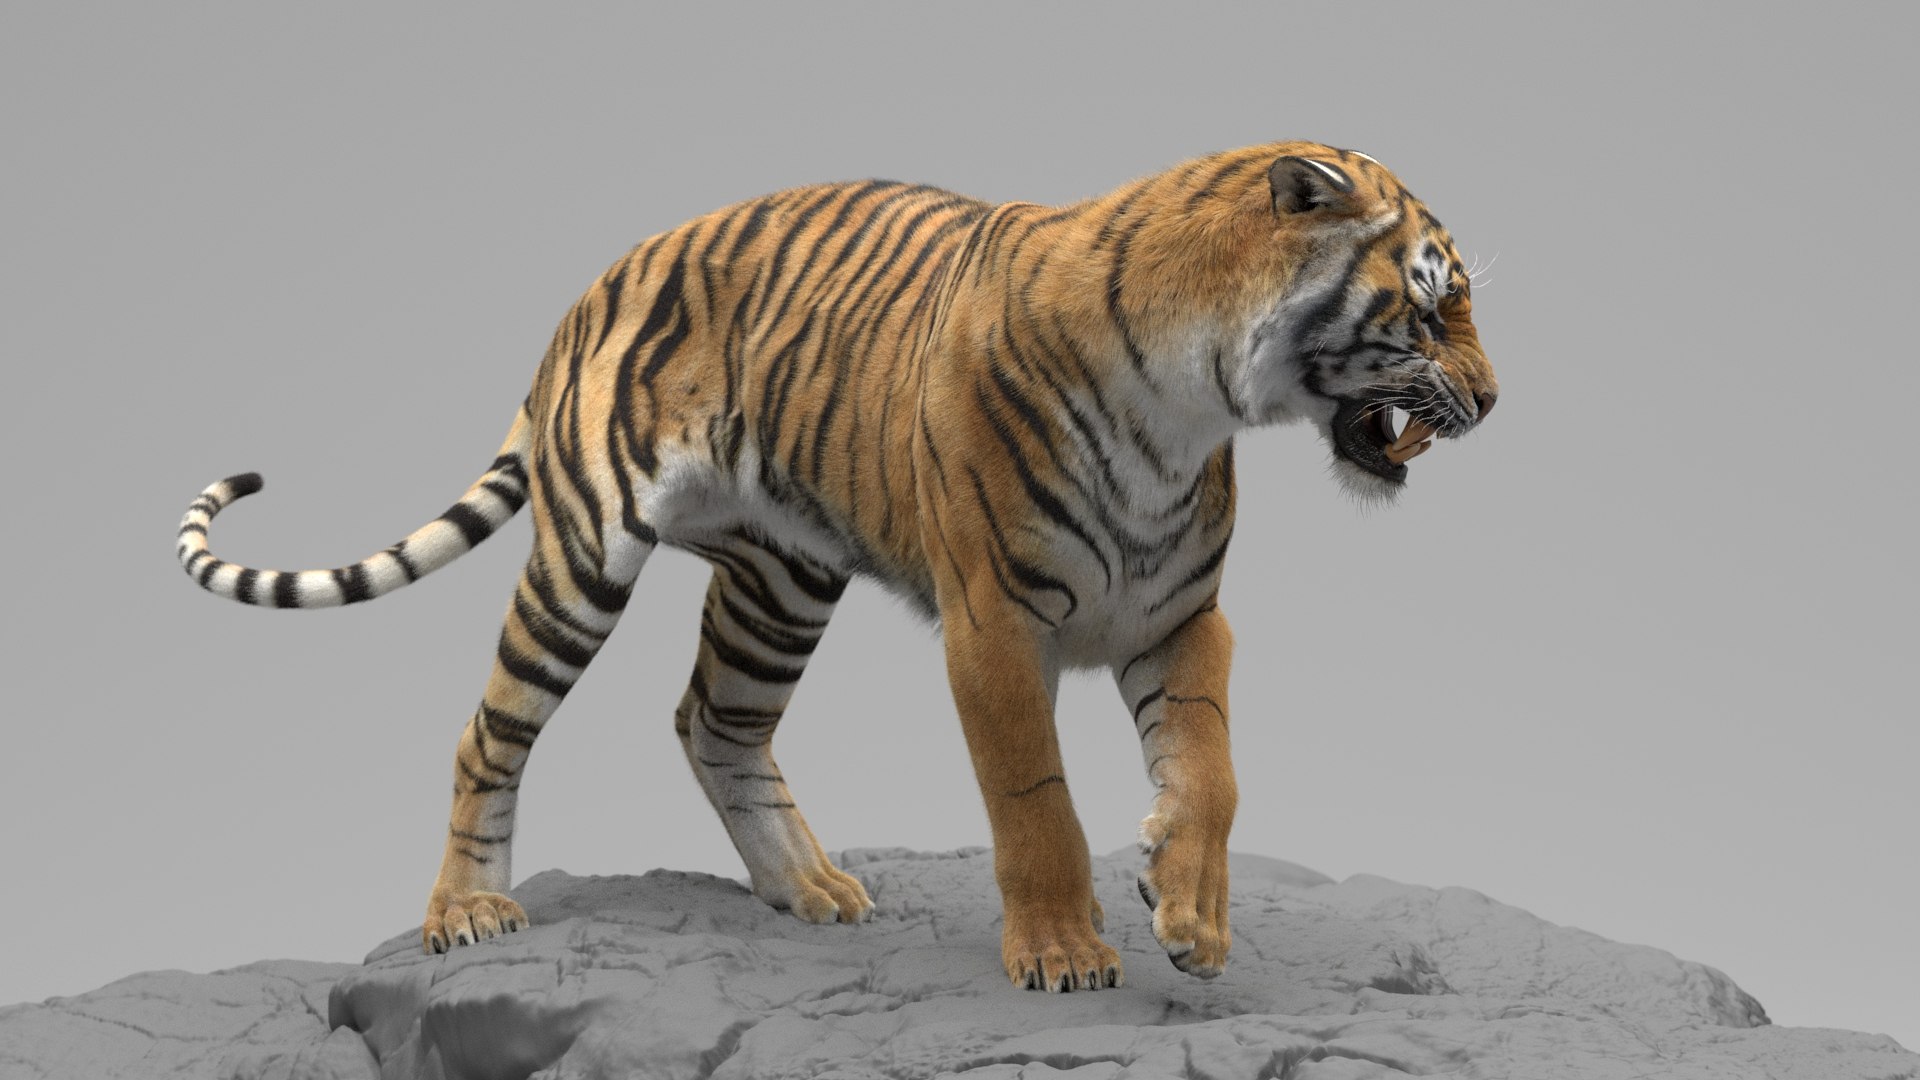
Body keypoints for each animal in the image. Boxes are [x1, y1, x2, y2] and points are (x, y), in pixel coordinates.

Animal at [176, 141, 1497, 993]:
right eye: (1432, 310)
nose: (1492, 402)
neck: (1193, 402)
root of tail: (594, 285)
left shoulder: (1184, 618)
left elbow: (1213, 774)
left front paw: (1191, 914)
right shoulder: (993, 625)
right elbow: (1035, 803)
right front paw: (1065, 955)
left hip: (781, 581)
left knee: (712, 721)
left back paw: (810, 889)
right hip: (589, 555)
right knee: (490, 729)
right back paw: (465, 913)